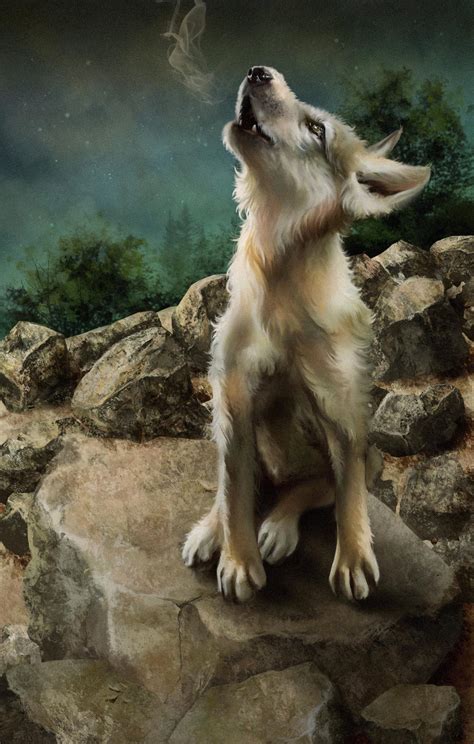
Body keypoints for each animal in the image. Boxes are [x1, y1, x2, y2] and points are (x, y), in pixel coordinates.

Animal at [182, 66, 430, 603]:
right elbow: (233, 488)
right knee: (241, 481)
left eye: (317, 130)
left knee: (311, 487)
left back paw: (278, 527)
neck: (278, 271)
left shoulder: (343, 408)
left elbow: (346, 489)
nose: (259, 72)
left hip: (367, 453)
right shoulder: (233, 400)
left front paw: (353, 559)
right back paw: (211, 531)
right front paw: (237, 560)